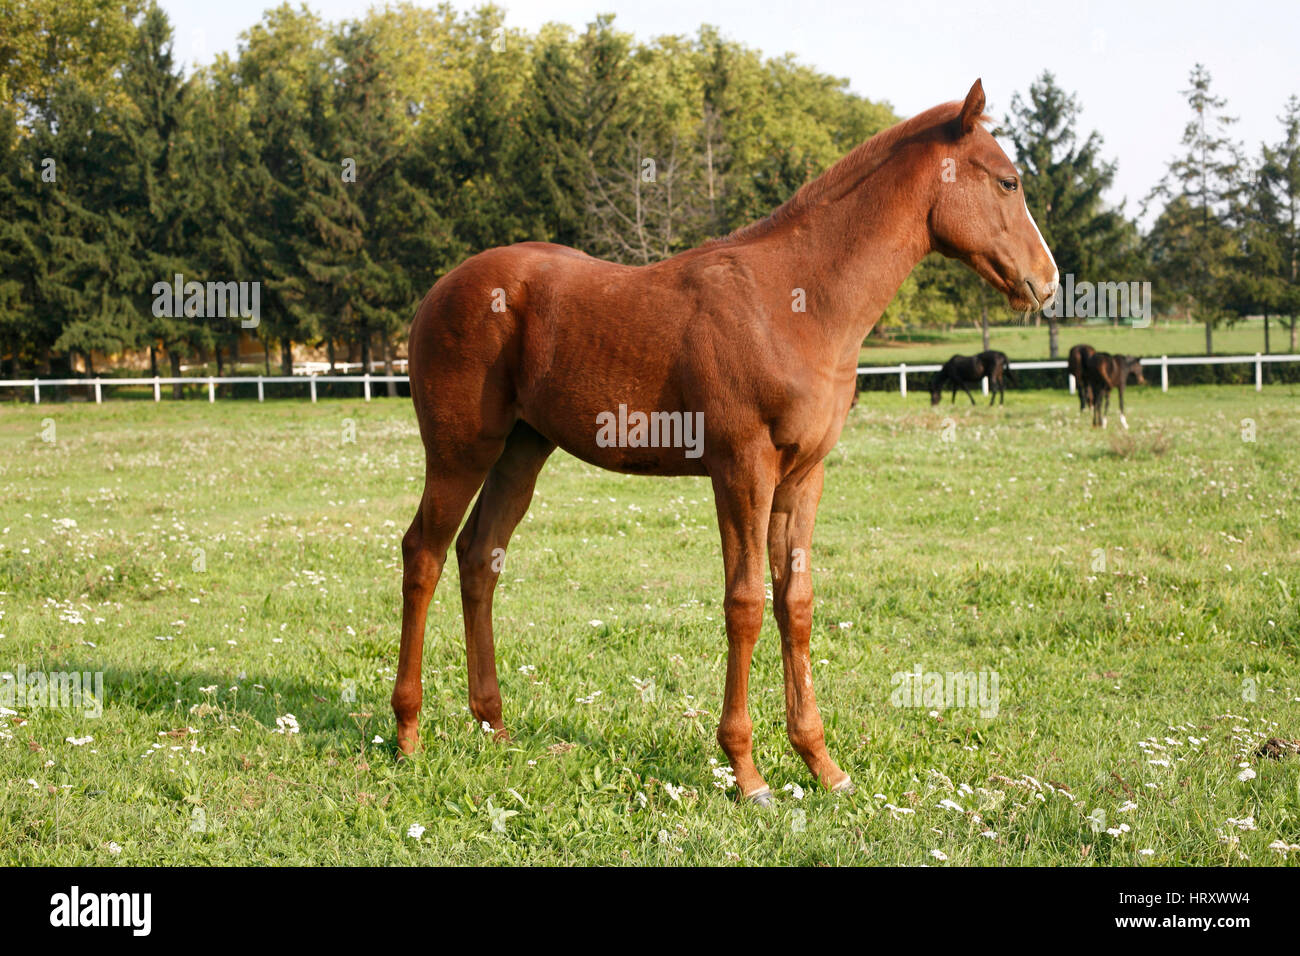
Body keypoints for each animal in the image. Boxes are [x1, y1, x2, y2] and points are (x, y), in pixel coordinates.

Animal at [394, 79, 1058, 805]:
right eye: (1008, 181)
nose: (1047, 280)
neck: (796, 302)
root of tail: (439, 291)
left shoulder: (802, 477)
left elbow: (796, 604)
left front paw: (821, 763)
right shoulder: (743, 469)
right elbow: (744, 604)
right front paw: (747, 771)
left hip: (521, 450)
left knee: (479, 556)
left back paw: (493, 726)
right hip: (459, 452)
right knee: (423, 555)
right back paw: (407, 734)